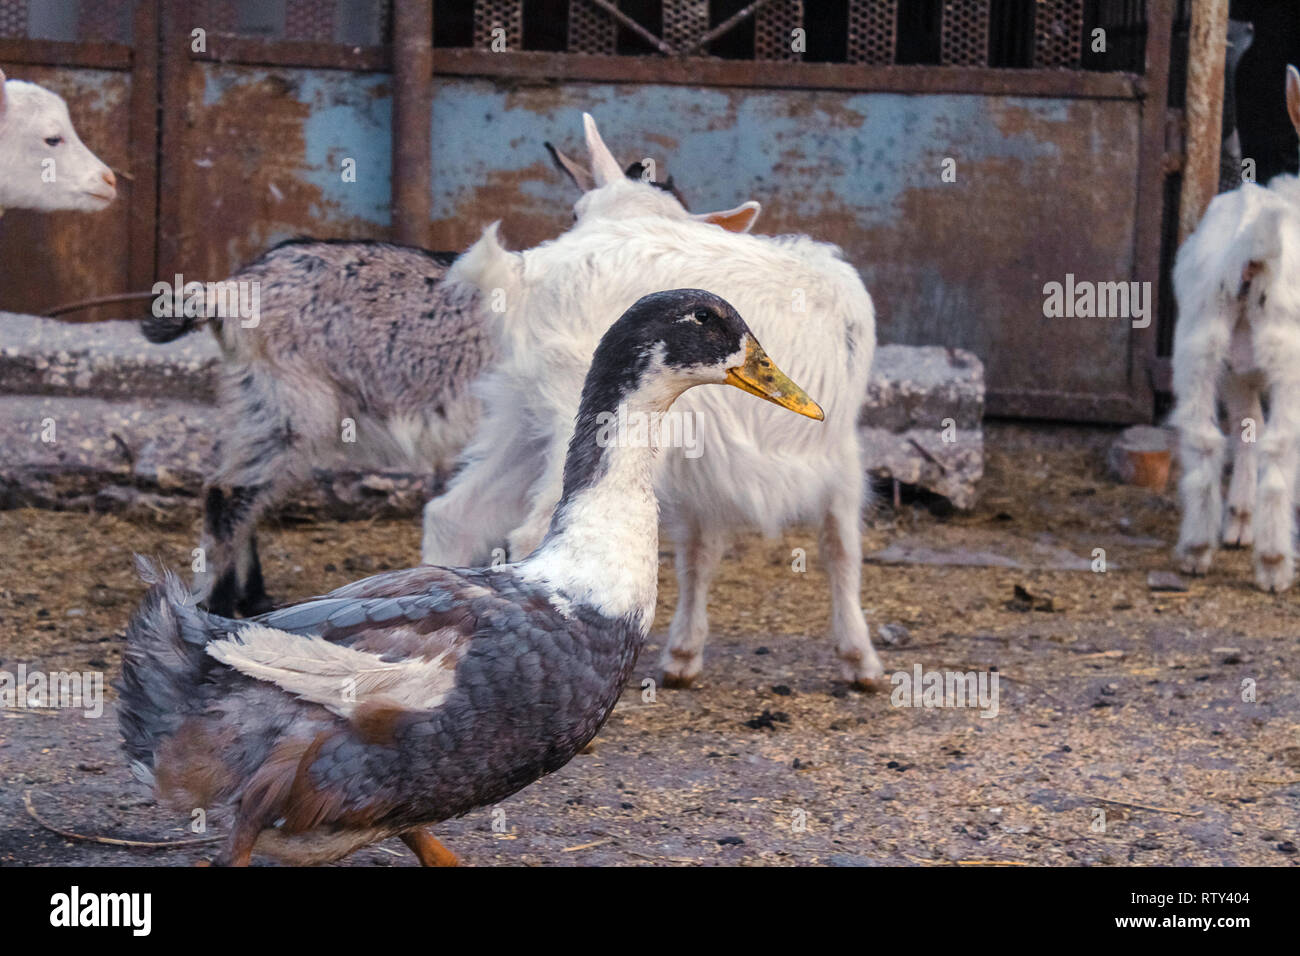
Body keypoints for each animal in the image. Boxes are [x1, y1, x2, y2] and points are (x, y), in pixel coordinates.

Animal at [421, 114, 880, 688]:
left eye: (577, 210)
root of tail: (525, 277)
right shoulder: (837, 447)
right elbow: (841, 542)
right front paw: (861, 659)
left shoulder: (710, 453)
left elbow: (700, 548)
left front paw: (683, 653)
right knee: (532, 534)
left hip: (523, 414)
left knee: (452, 513)